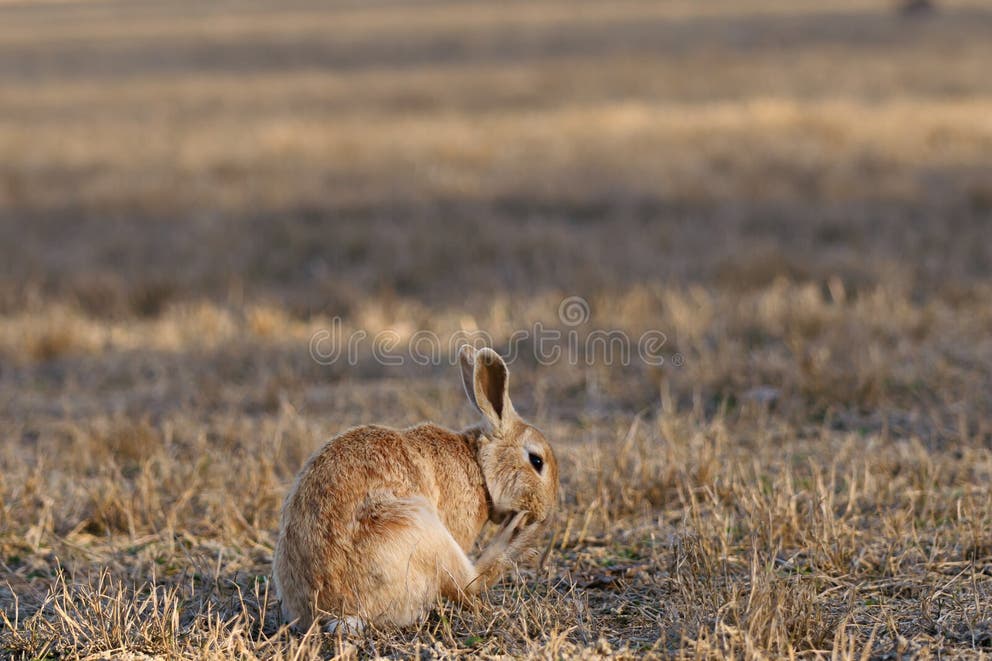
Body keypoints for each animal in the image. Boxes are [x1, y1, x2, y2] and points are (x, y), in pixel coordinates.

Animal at [273, 346, 559, 631]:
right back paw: (516, 540)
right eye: (537, 461)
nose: (545, 513)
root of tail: (332, 613)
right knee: (469, 582)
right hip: (422, 529)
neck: (479, 465)